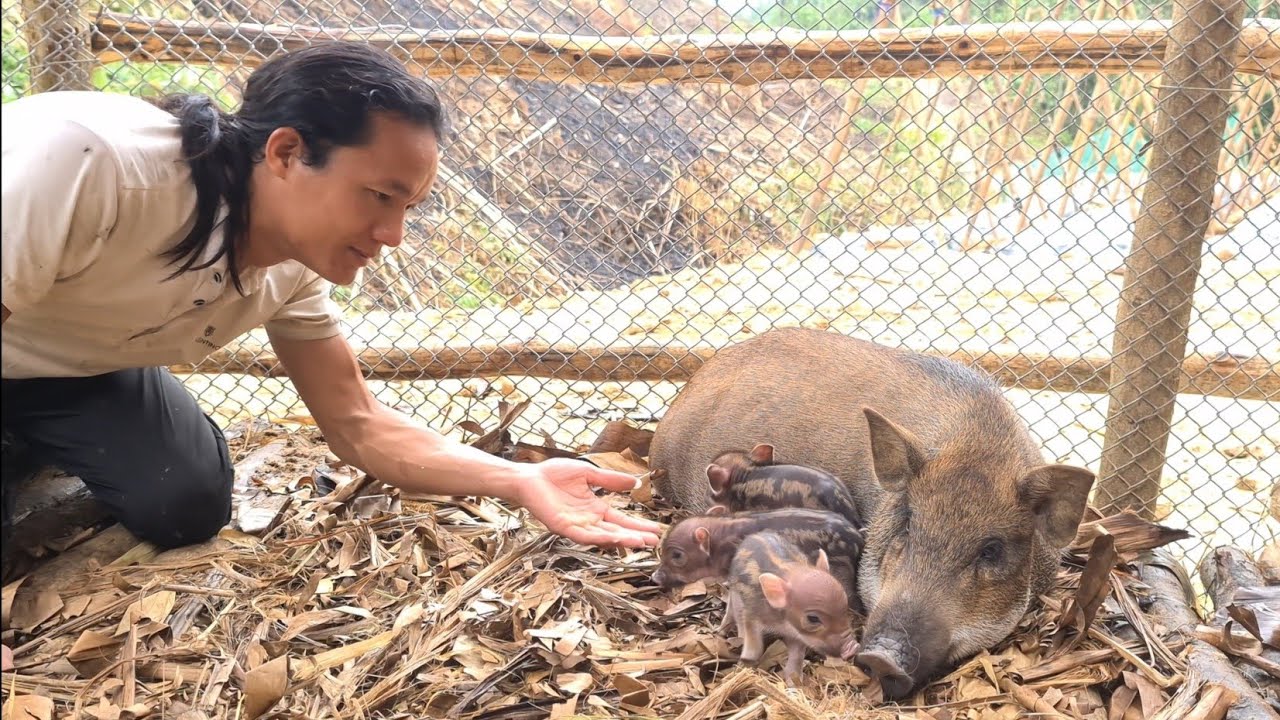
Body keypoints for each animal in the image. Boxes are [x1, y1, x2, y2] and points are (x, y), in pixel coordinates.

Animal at [727, 530, 858, 685]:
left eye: (846, 606)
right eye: (813, 618)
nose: (853, 647)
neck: (782, 623)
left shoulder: (798, 634)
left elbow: (797, 654)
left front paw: (793, 683)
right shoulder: (752, 614)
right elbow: (753, 647)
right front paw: (743, 666)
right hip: (735, 593)